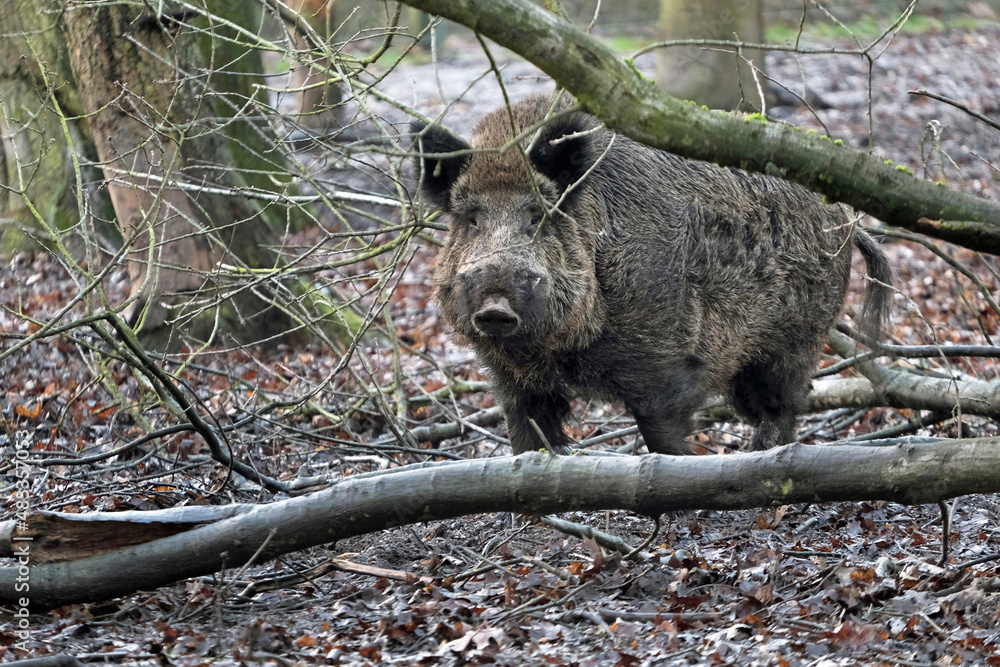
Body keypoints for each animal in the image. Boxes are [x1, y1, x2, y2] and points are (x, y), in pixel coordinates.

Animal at [411, 94, 891, 456]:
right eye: (471, 219)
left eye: (537, 216)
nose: (494, 307)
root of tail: (848, 219)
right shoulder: (510, 378)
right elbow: (528, 438)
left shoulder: (666, 355)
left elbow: (661, 431)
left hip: (796, 337)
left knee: (785, 404)